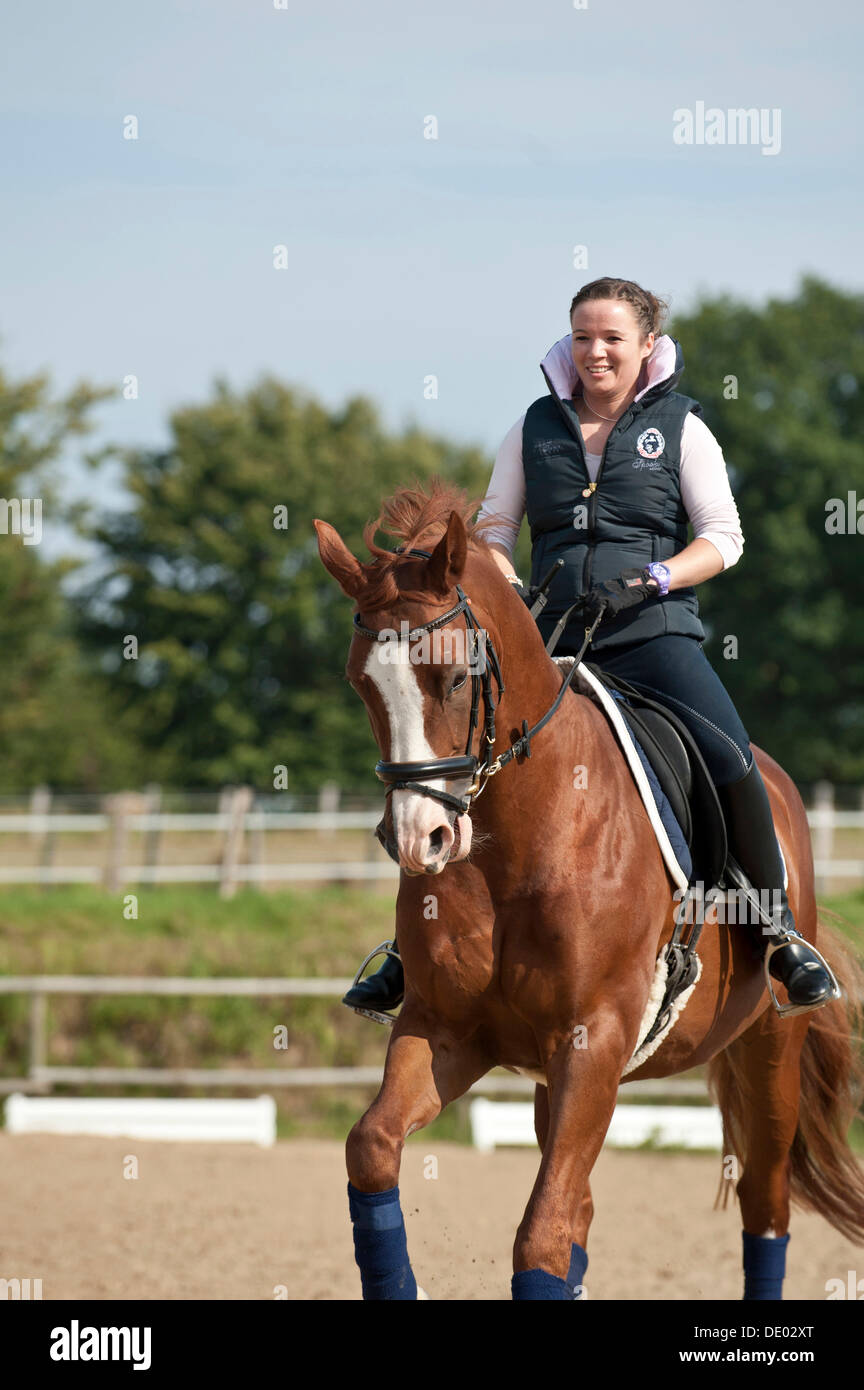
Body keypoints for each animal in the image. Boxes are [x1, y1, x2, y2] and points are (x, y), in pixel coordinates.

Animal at [314, 479, 864, 1300]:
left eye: (455, 677)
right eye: (361, 686)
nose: (420, 841)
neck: (520, 841)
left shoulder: (593, 1040)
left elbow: (540, 1236)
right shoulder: (445, 1027)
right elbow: (373, 1146)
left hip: (769, 1052)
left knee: (764, 1205)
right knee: (582, 1208)